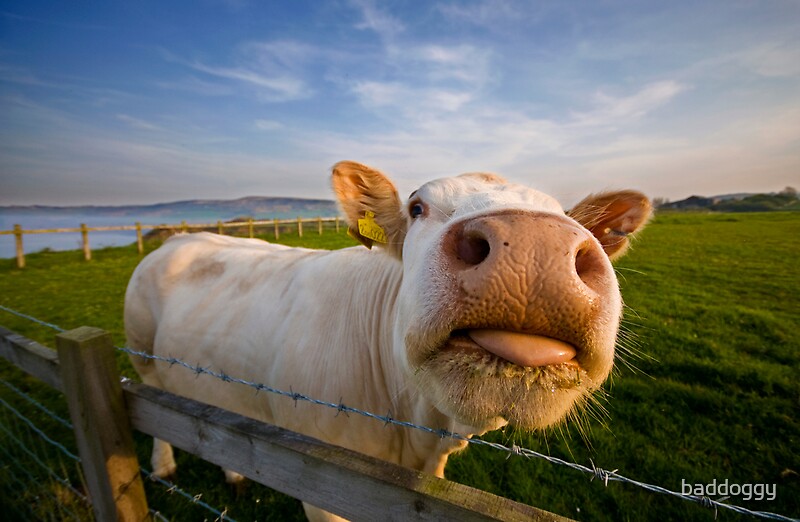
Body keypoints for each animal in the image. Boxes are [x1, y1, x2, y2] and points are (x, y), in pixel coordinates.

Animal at [124, 161, 651, 521]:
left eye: (562, 214)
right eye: (416, 208)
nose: (533, 246)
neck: (415, 433)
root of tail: (179, 238)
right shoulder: (315, 479)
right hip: (142, 353)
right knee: (155, 411)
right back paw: (163, 467)